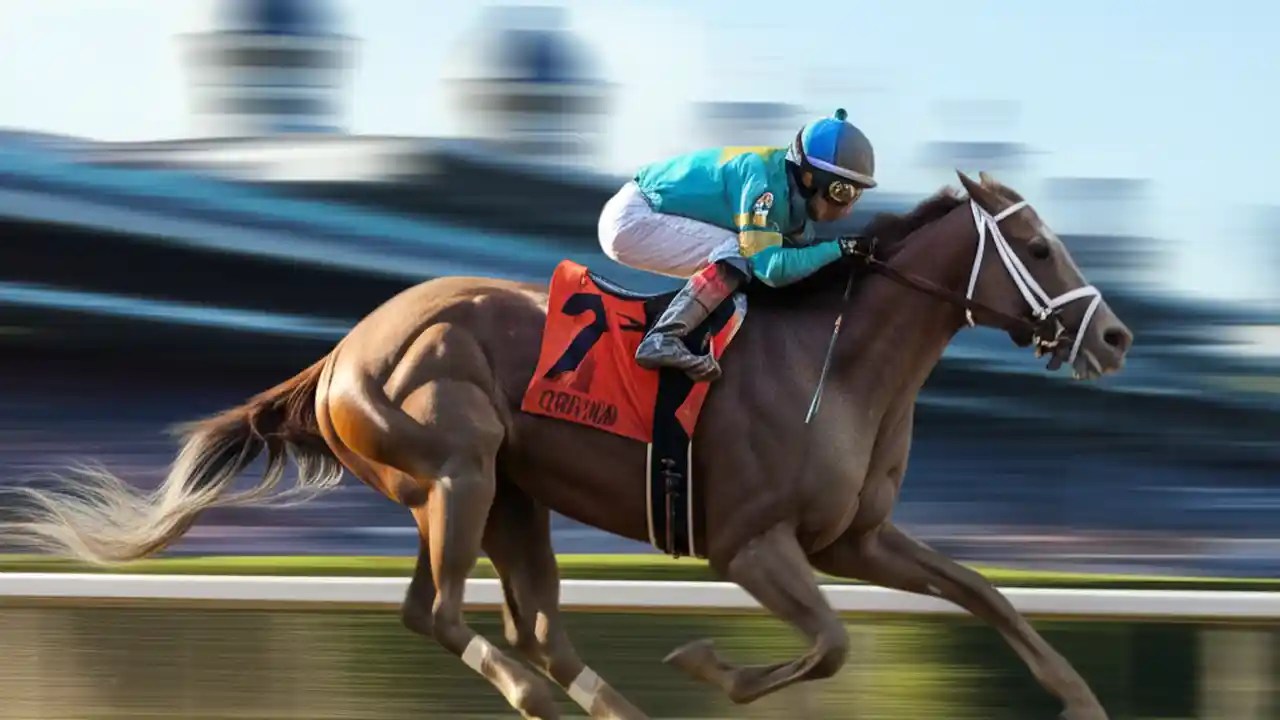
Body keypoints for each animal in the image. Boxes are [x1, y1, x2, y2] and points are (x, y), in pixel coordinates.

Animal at [3, 170, 1132, 720]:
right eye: (1037, 249)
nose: (1116, 336)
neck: (839, 358)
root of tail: (337, 354)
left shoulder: (850, 539)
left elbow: (983, 592)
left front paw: (1079, 699)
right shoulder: (752, 545)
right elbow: (830, 643)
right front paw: (704, 664)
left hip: (513, 494)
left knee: (527, 622)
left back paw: (599, 705)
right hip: (453, 470)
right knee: (436, 613)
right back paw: (543, 699)